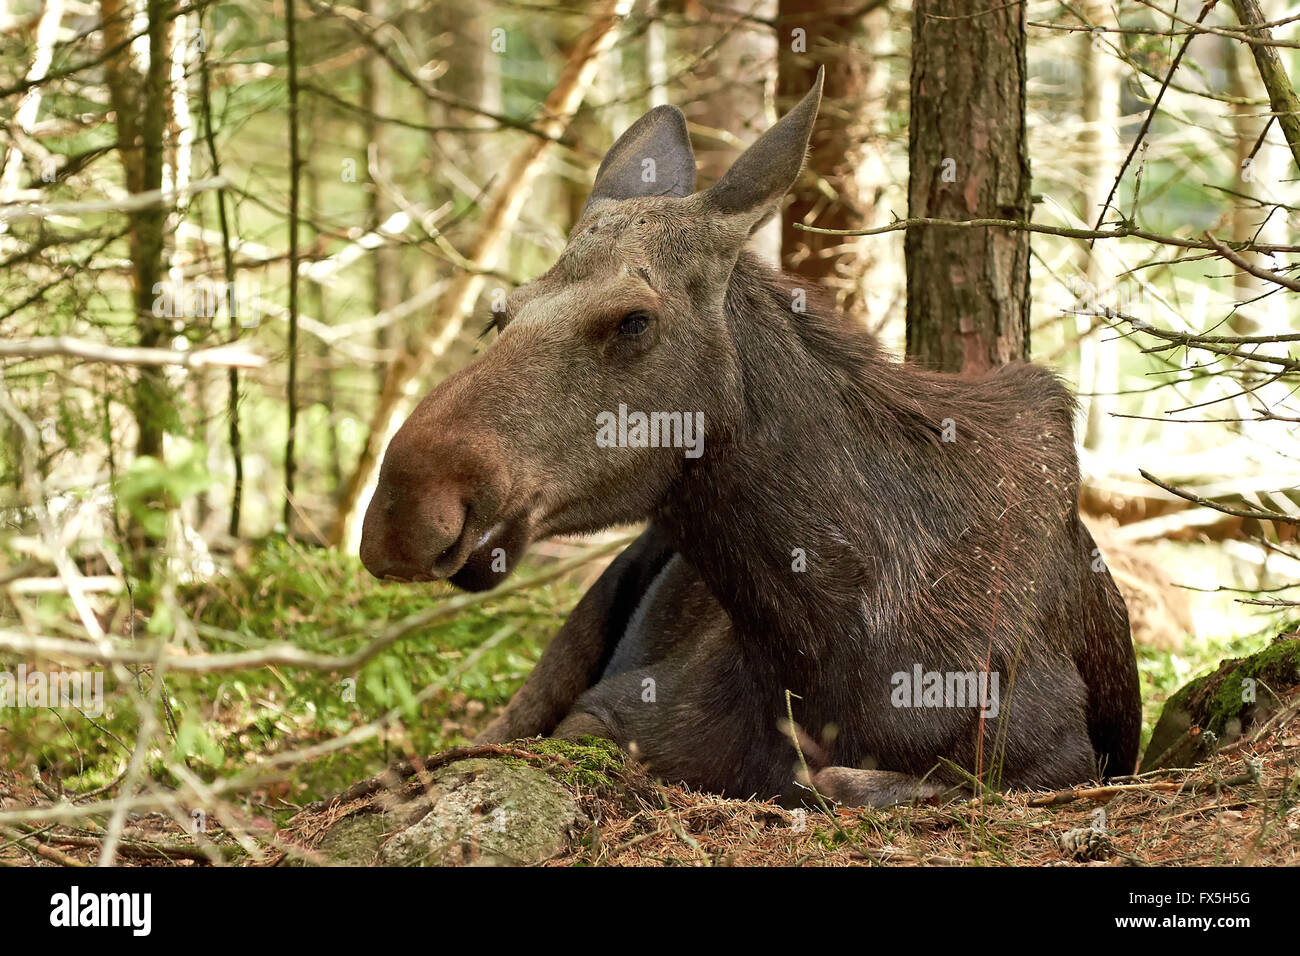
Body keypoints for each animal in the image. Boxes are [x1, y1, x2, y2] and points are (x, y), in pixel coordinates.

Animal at [359, 71, 1142, 808]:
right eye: (501, 316)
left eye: (634, 320)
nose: (403, 510)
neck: (820, 641)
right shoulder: (608, 710)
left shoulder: (1061, 761)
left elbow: (842, 781)